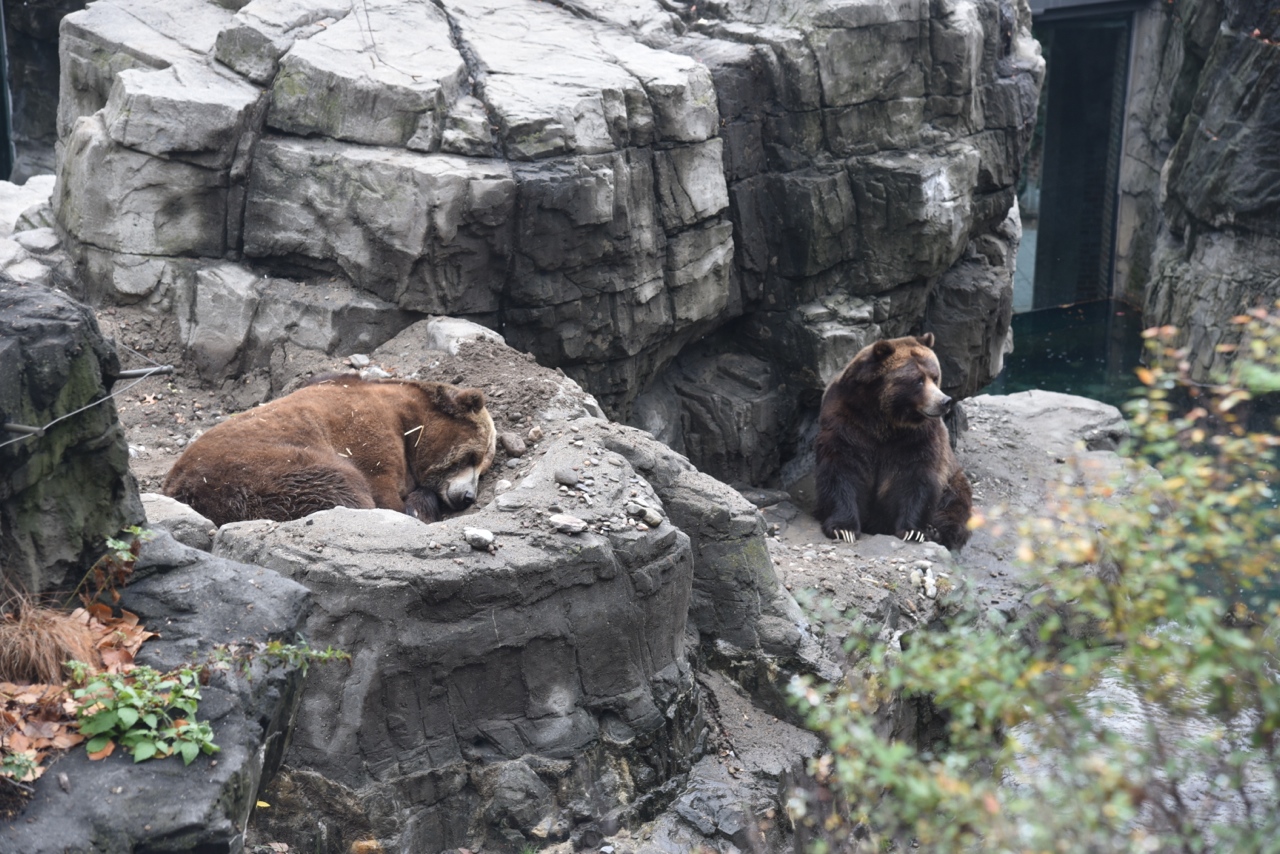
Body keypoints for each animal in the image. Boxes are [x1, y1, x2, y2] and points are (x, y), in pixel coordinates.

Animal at [163, 376, 496, 527]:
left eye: (483, 469)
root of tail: (183, 491)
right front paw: (413, 507)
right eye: (471, 457)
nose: (468, 497)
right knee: (341, 485)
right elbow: (383, 489)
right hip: (258, 469)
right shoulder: (366, 430)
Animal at [814, 333, 973, 550]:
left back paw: (937, 530)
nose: (944, 401)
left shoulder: (916, 438)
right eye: (918, 380)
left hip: (952, 479)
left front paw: (914, 530)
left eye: (935, 376)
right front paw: (843, 528)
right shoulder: (847, 423)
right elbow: (842, 470)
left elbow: (916, 478)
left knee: (955, 504)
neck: (885, 421)